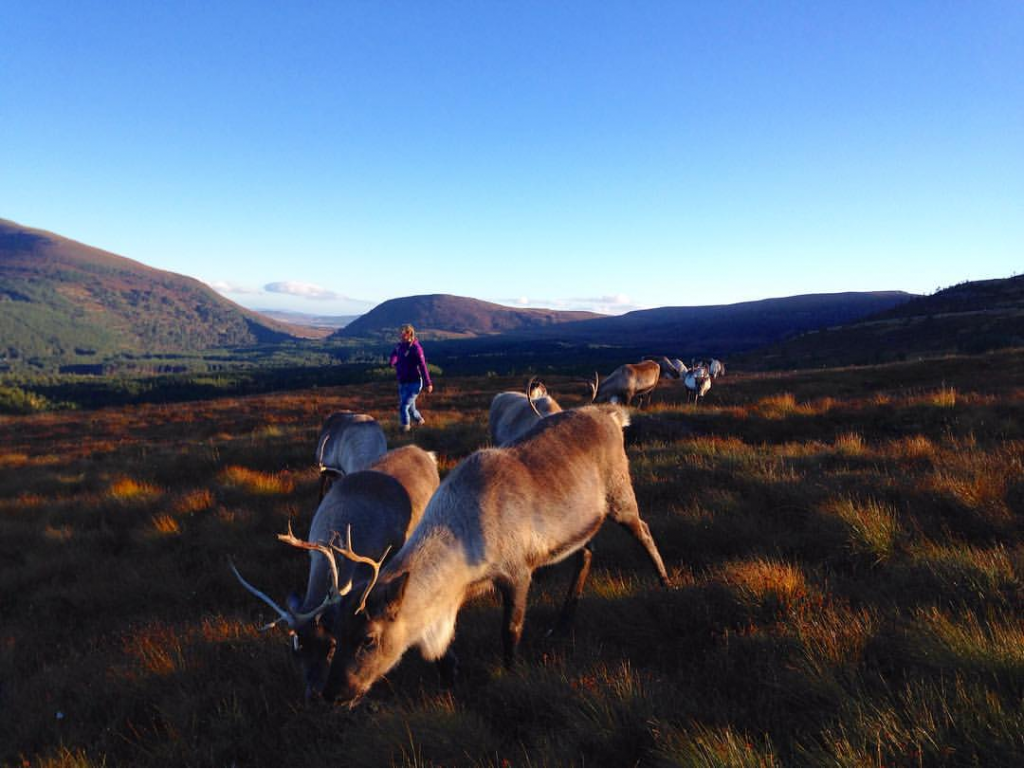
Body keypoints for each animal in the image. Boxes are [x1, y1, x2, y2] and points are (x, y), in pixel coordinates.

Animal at [316, 404, 672, 707]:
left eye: (368, 639)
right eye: (334, 633)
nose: (333, 693)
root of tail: (611, 414)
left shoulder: (518, 570)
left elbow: (510, 630)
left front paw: (511, 674)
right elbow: (442, 649)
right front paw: (449, 681)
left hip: (620, 493)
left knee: (643, 530)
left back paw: (665, 582)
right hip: (581, 523)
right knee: (587, 552)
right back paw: (561, 623)